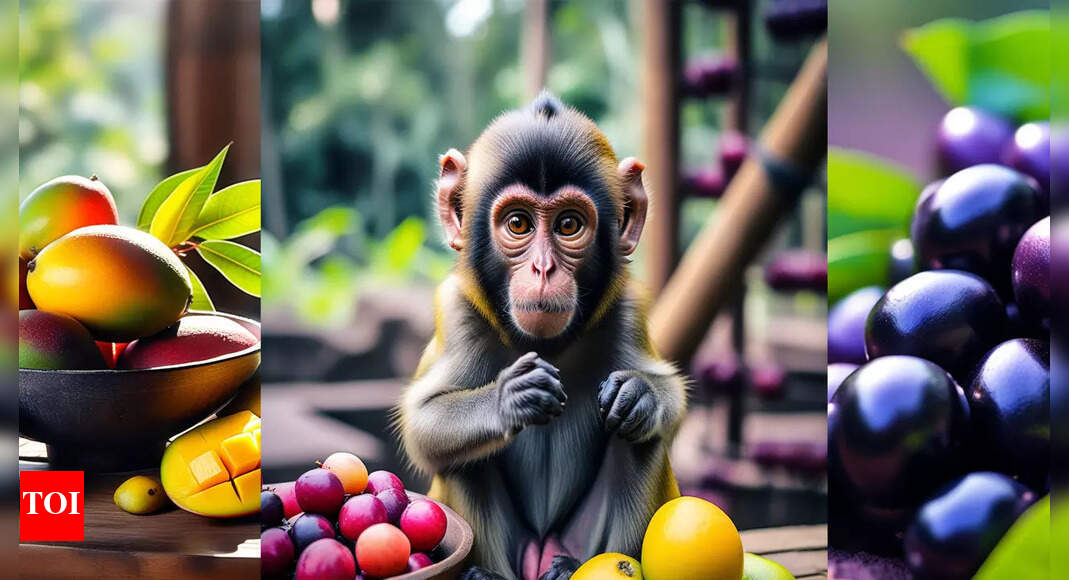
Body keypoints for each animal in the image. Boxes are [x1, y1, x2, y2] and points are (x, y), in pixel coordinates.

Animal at [396, 93, 688, 580]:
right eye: (518, 224)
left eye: (569, 225)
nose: (544, 269)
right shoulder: (457, 311)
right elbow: (423, 422)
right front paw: (510, 398)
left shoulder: (627, 309)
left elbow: (666, 399)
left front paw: (639, 393)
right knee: (461, 456)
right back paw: (486, 573)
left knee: (641, 439)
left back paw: (572, 566)